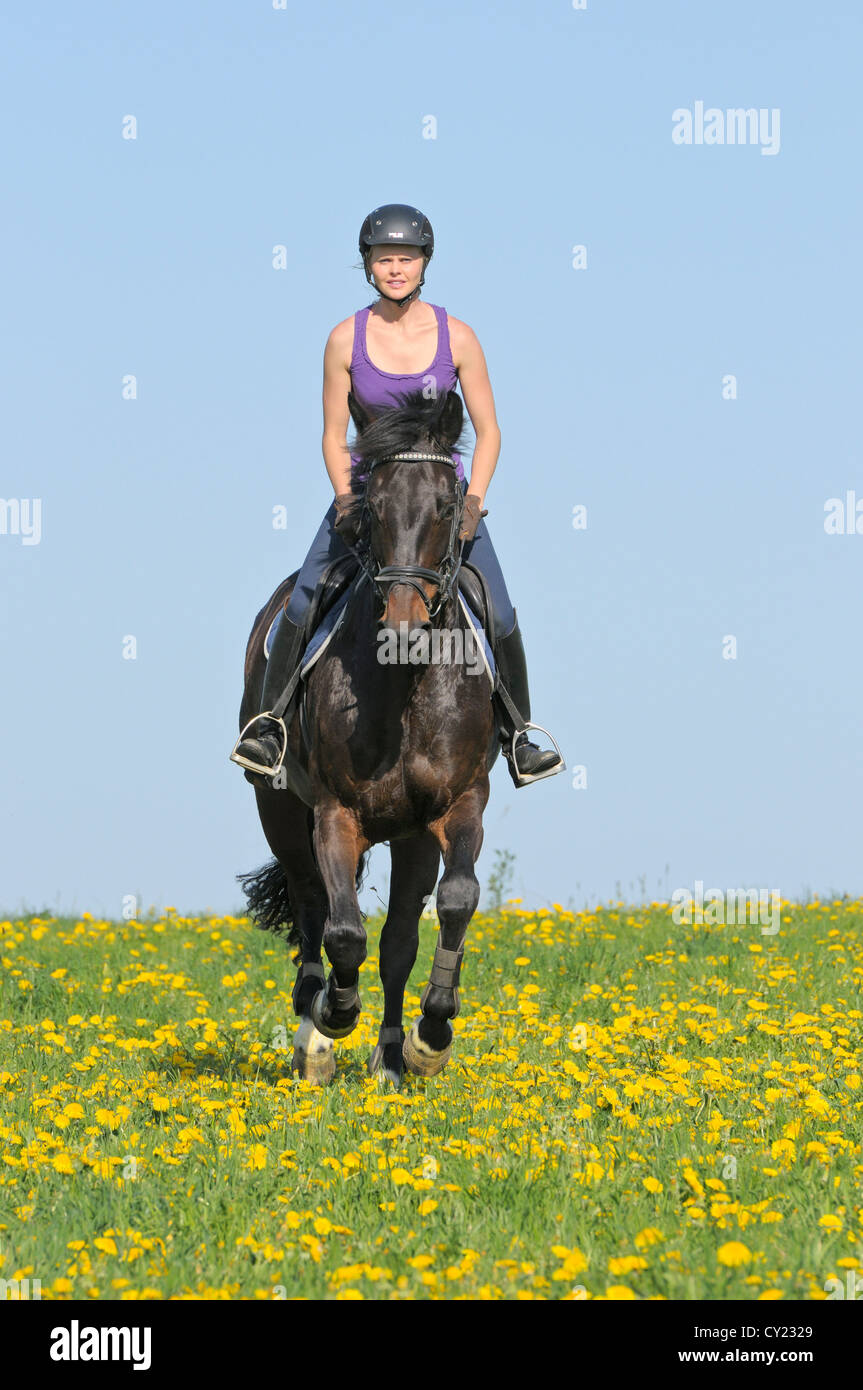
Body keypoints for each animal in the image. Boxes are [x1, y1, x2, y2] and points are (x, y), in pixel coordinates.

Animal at [236, 387, 501, 1086]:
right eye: (373, 508)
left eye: (445, 505)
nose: (403, 627)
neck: (404, 686)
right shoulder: (334, 813)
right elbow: (342, 932)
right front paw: (334, 1015)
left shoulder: (458, 804)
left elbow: (454, 901)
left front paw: (431, 1037)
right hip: (279, 808)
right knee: (312, 910)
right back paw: (315, 1037)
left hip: (409, 837)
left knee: (397, 939)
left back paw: (390, 1059)